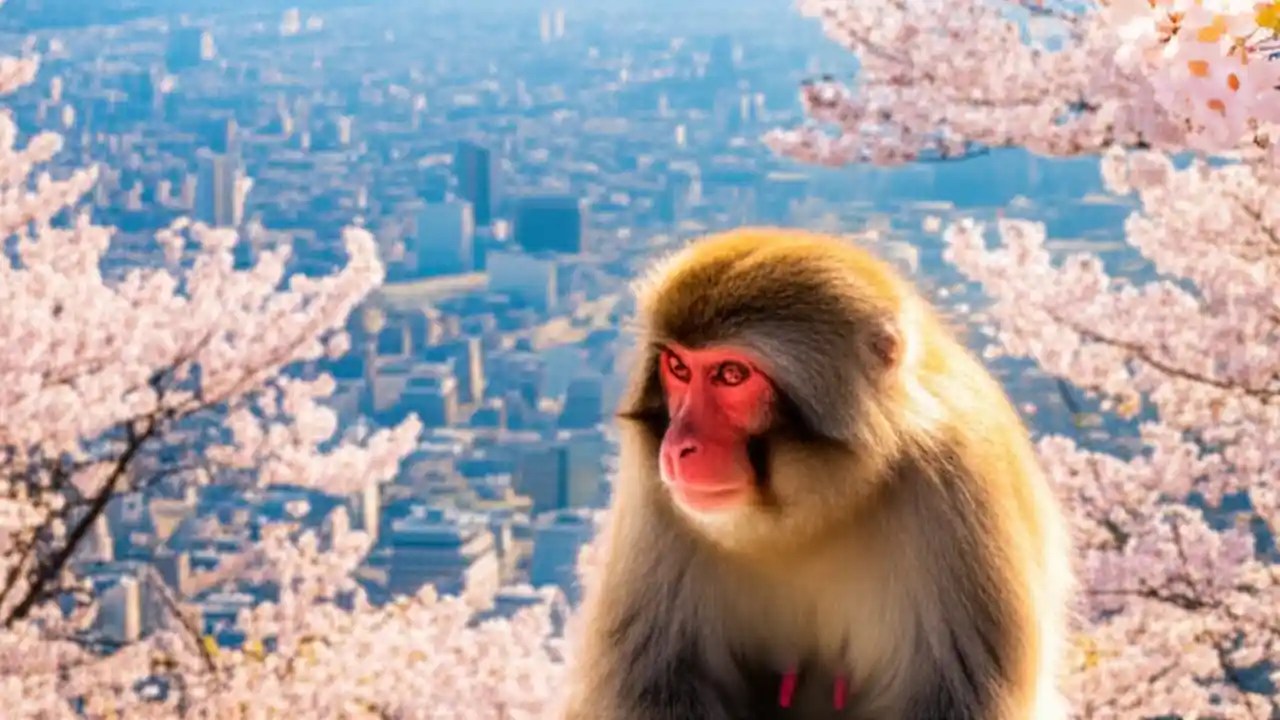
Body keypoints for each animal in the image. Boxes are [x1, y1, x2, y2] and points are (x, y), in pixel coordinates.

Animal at [561, 227, 1073, 720]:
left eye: (731, 375)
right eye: (678, 368)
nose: (677, 446)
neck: (806, 515)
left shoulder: (956, 483)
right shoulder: (654, 496)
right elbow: (650, 686)